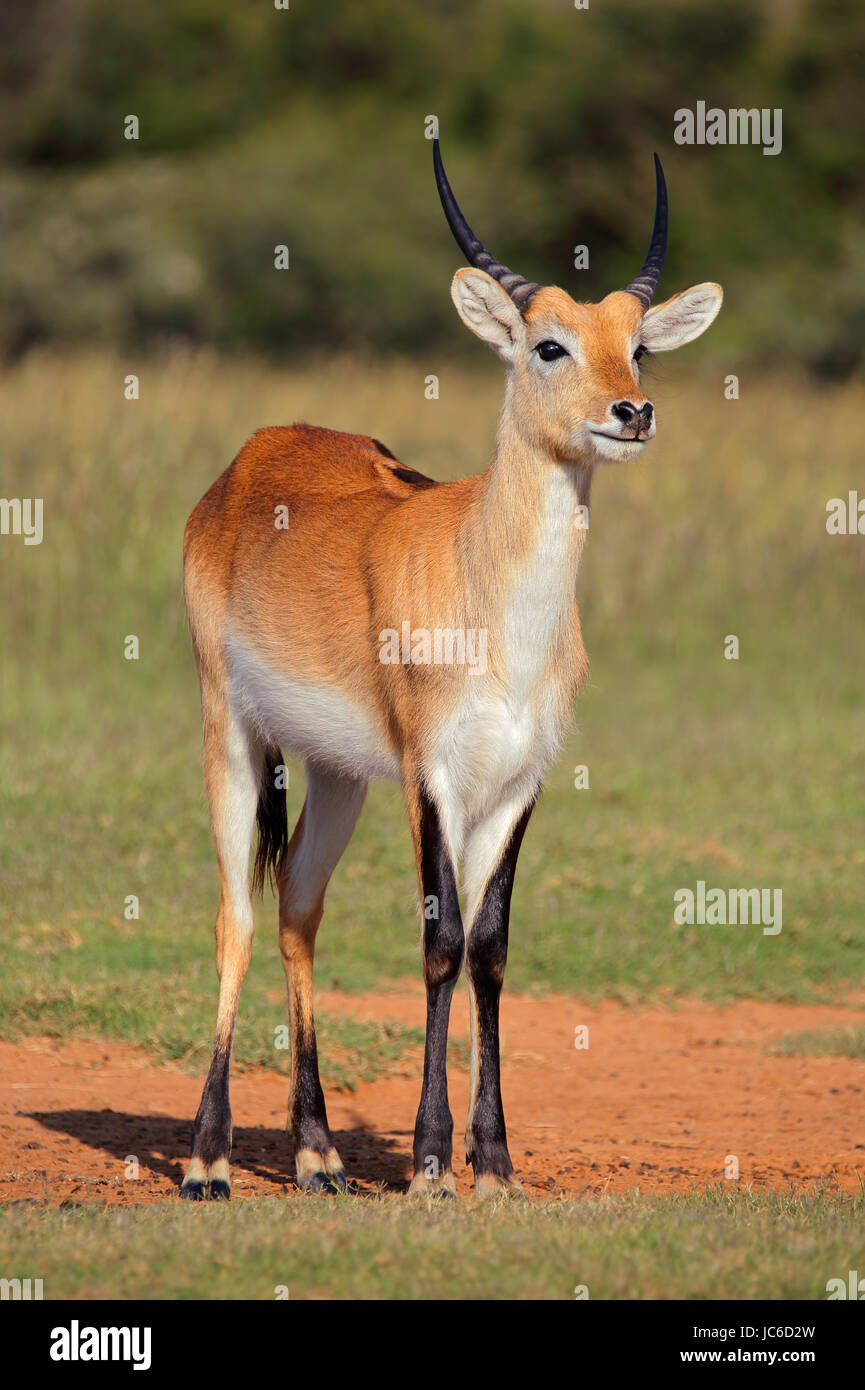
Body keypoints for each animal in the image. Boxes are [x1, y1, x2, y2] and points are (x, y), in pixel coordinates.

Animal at [180, 140, 722, 1201]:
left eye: (637, 345)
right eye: (548, 345)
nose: (632, 411)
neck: (490, 599)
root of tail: (256, 452)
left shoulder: (515, 783)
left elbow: (490, 948)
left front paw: (496, 1163)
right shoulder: (429, 775)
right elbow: (437, 944)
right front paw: (432, 1163)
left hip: (337, 772)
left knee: (298, 904)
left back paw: (317, 1156)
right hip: (232, 735)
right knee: (238, 913)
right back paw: (209, 1162)